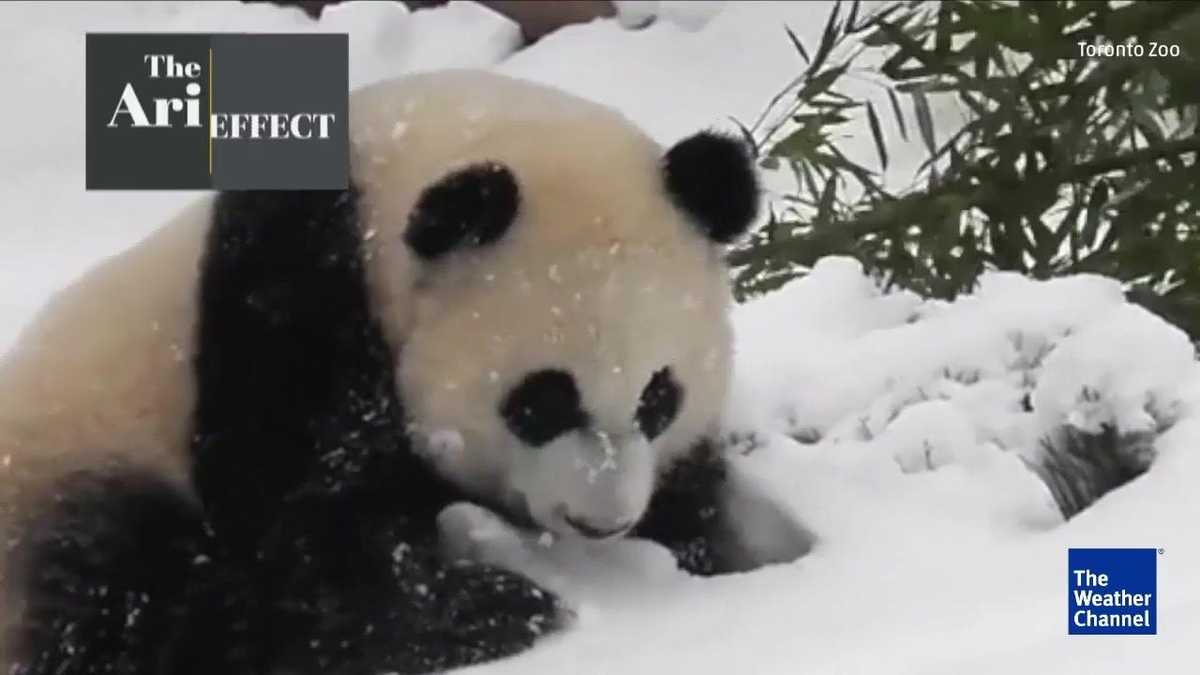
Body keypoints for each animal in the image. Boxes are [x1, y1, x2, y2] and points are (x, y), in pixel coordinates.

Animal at [0, 70, 805, 674]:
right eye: (540, 402)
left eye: (659, 398)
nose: (599, 522)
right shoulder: (288, 309)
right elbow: (309, 532)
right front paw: (482, 607)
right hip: (69, 468)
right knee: (127, 601)